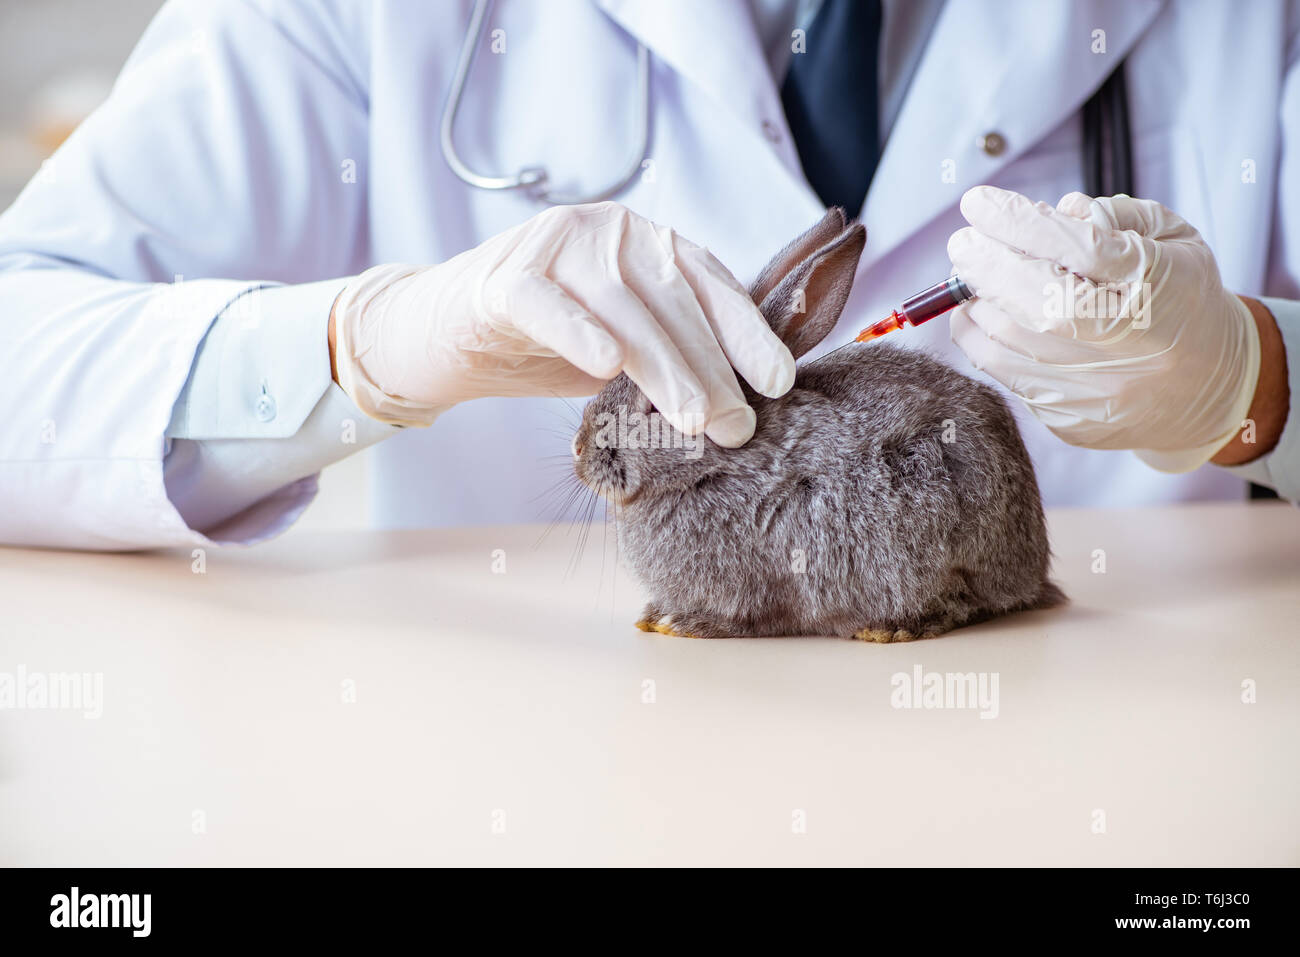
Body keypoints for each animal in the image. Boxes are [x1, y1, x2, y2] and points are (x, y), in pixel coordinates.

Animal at [571, 207, 1065, 640]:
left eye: (660, 407)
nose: (580, 450)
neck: (722, 464)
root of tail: (1033, 569)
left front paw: (683, 623)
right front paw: (656, 615)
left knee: (965, 602)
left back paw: (894, 628)